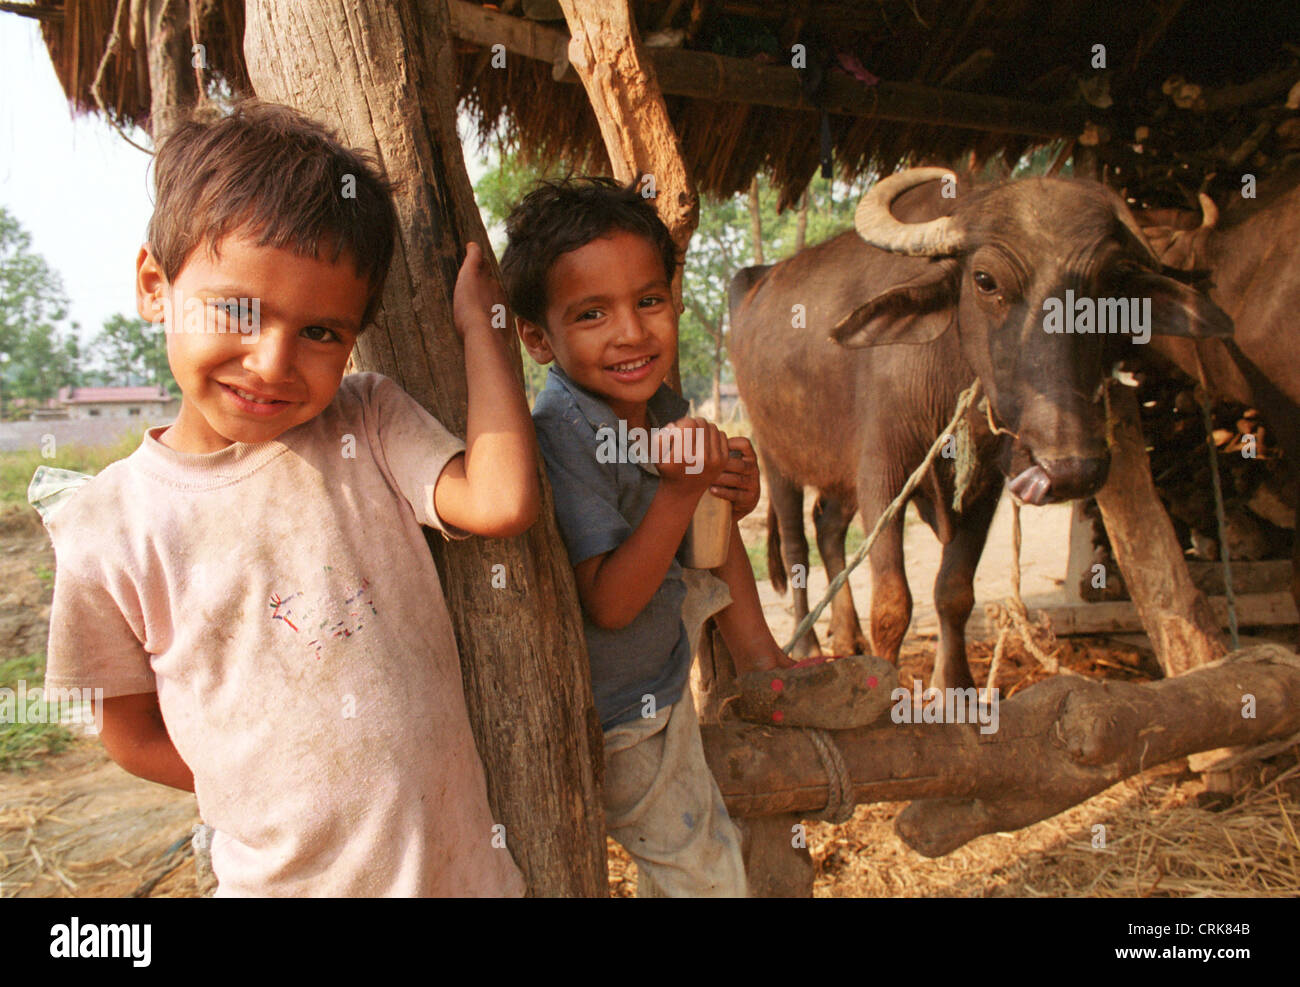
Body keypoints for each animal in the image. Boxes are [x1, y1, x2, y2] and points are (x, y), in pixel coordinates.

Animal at [729, 167, 1233, 691]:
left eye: (1112, 285)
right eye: (985, 280)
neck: (942, 371)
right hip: (773, 454)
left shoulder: (987, 480)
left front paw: (955, 686)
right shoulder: (881, 472)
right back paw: (808, 645)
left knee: (828, 527)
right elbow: (892, 601)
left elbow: (954, 590)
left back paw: (847, 638)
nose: (1070, 468)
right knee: (795, 544)